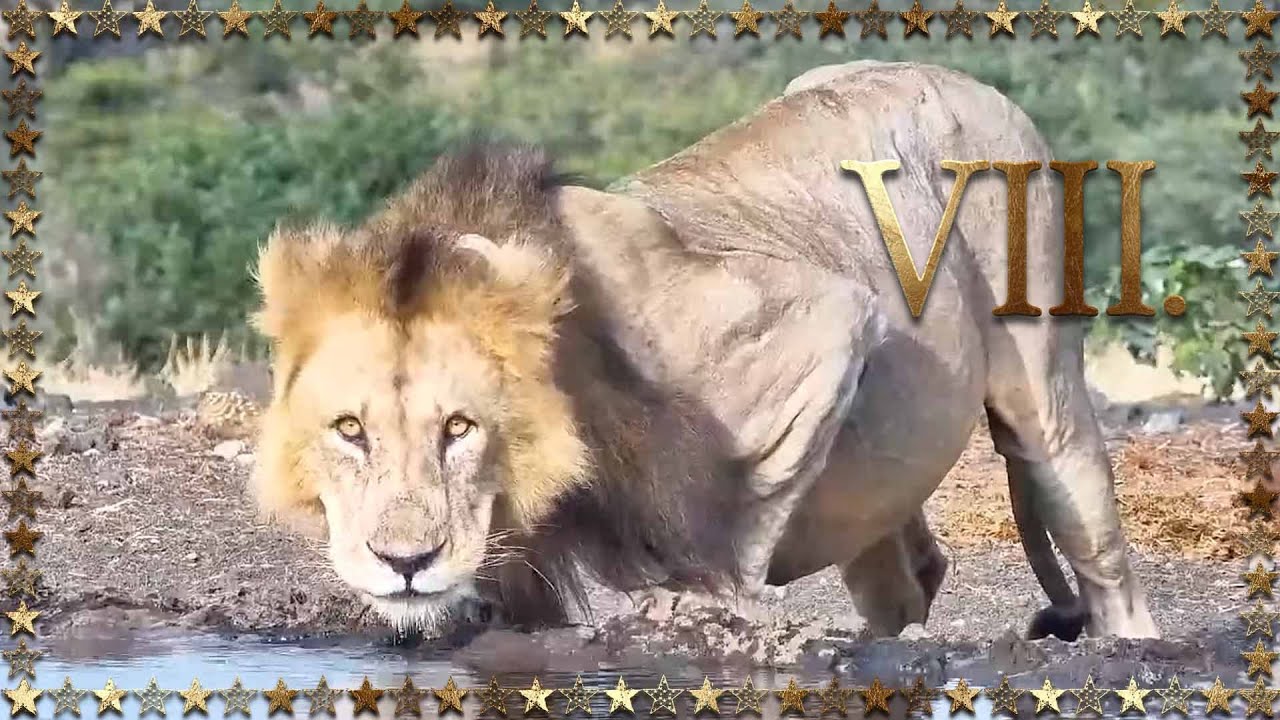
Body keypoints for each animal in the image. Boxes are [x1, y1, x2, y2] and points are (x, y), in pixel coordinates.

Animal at [251, 60, 1158, 641]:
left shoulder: (825, 322)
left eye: (459, 428)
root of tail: (979, 82)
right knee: (909, 571)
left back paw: (1129, 640)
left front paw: (702, 611)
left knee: (1088, 526)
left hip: (1040, 370)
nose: (404, 561)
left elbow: (744, 512)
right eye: (350, 431)